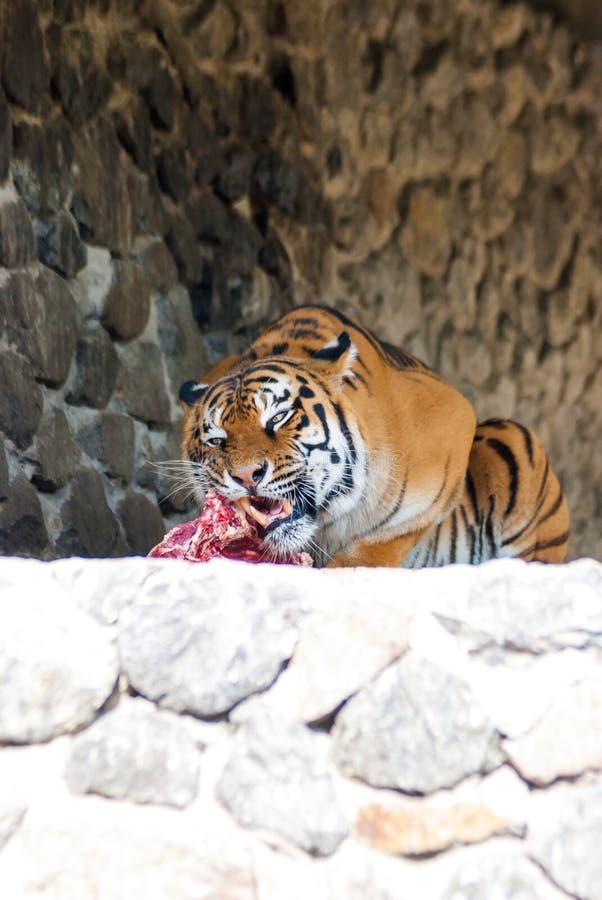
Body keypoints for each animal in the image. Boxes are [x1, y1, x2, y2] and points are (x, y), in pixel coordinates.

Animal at [179, 305, 569, 568]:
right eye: (216, 439)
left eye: (278, 417)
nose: (246, 476)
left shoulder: (453, 420)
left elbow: (392, 531)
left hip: (514, 439)